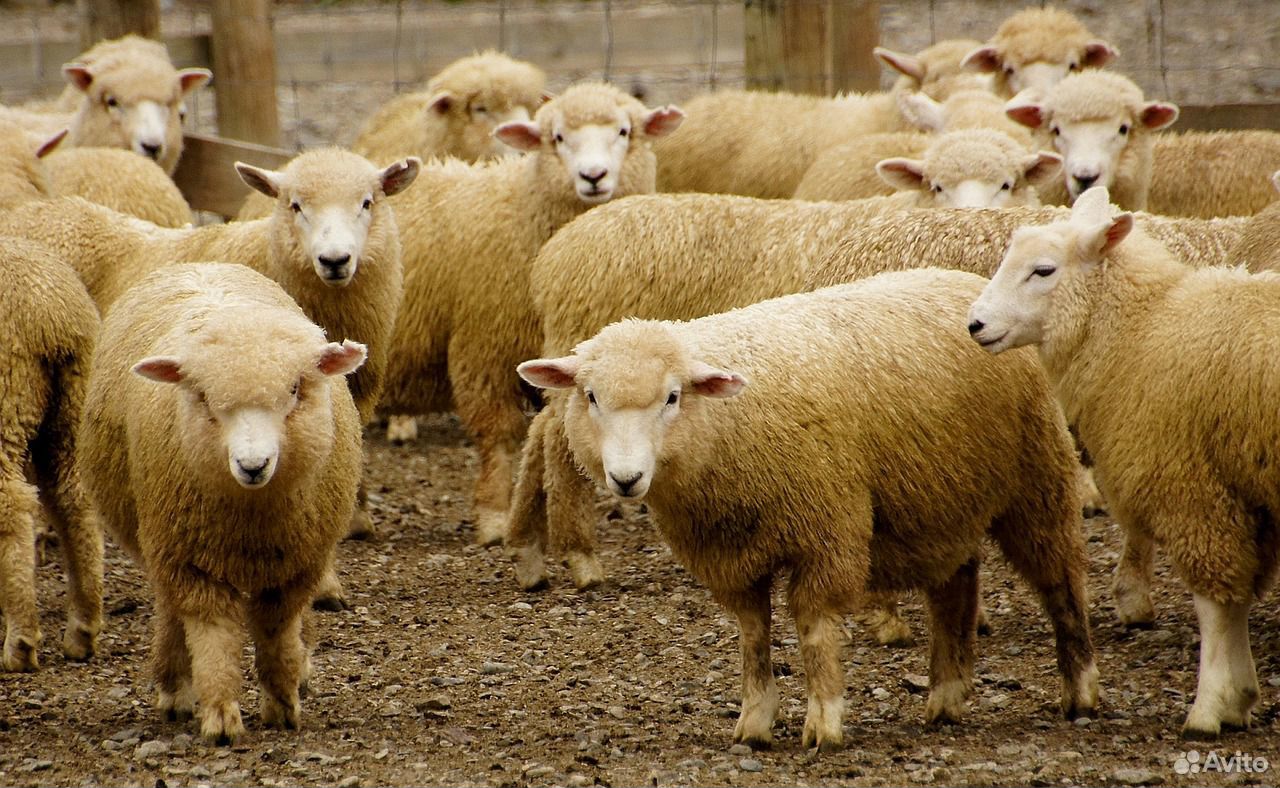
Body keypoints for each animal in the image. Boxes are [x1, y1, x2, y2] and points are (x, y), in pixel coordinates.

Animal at [78, 262, 366, 744]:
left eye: (294, 390)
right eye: (206, 399)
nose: (253, 465)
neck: (252, 518)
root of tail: (199, 264)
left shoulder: (298, 561)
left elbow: (276, 628)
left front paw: (283, 702)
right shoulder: (193, 560)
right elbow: (212, 634)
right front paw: (220, 716)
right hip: (159, 534)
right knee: (171, 607)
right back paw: (175, 688)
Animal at [376, 82, 683, 547]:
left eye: (624, 131)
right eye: (557, 137)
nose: (593, 176)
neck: (523, 211)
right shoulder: (484, 345)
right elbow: (500, 435)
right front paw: (495, 518)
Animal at [517, 269, 1098, 749]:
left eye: (673, 397)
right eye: (591, 397)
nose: (626, 478)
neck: (726, 429)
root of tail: (964, 284)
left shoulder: (827, 530)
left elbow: (816, 633)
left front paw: (824, 721)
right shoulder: (728, 554)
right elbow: (753, 634)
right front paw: (754, 722)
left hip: (1036, 477)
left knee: (1060, 581)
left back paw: (1081, 692)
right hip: (939, 500)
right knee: (955, 589)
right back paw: (947, 698)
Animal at [967, 186, 1280, 739]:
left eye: (1043, 270)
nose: (975, 324)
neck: (1142, 328)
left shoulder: (1192, 489)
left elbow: (1215, 605)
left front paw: (1209, 707)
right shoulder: (1240, 490)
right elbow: (1238, 600)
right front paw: (1242, 697)